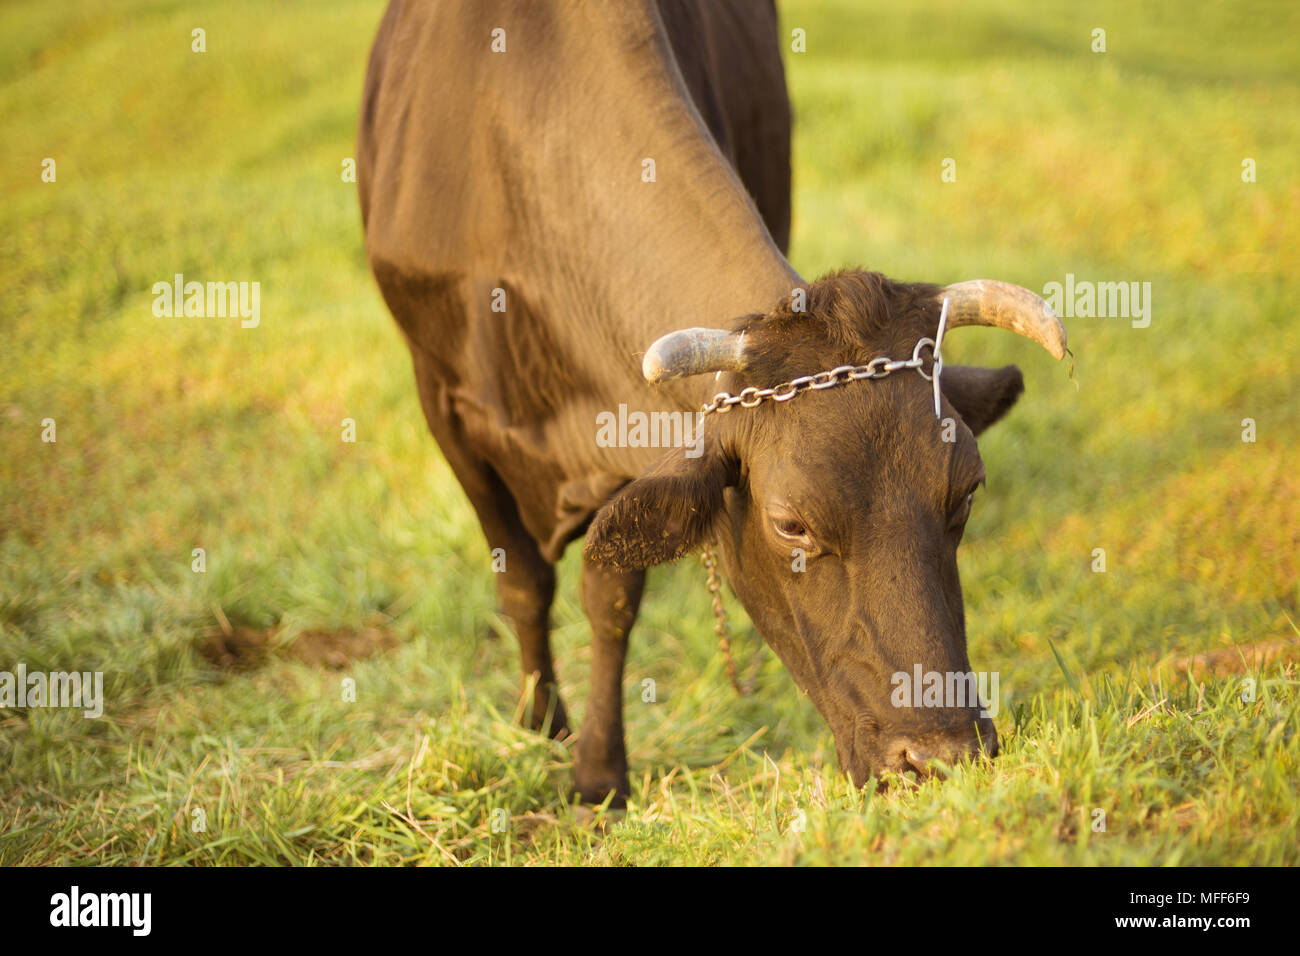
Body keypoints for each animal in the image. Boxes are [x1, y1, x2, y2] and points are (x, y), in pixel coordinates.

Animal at [358, 0, 1067, 805]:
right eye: (790, 524)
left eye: (967, 494)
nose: (942, 758)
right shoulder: (442, 403)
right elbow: (523, 583)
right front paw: (542, 726)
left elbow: (609, 598)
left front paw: (598, 770)